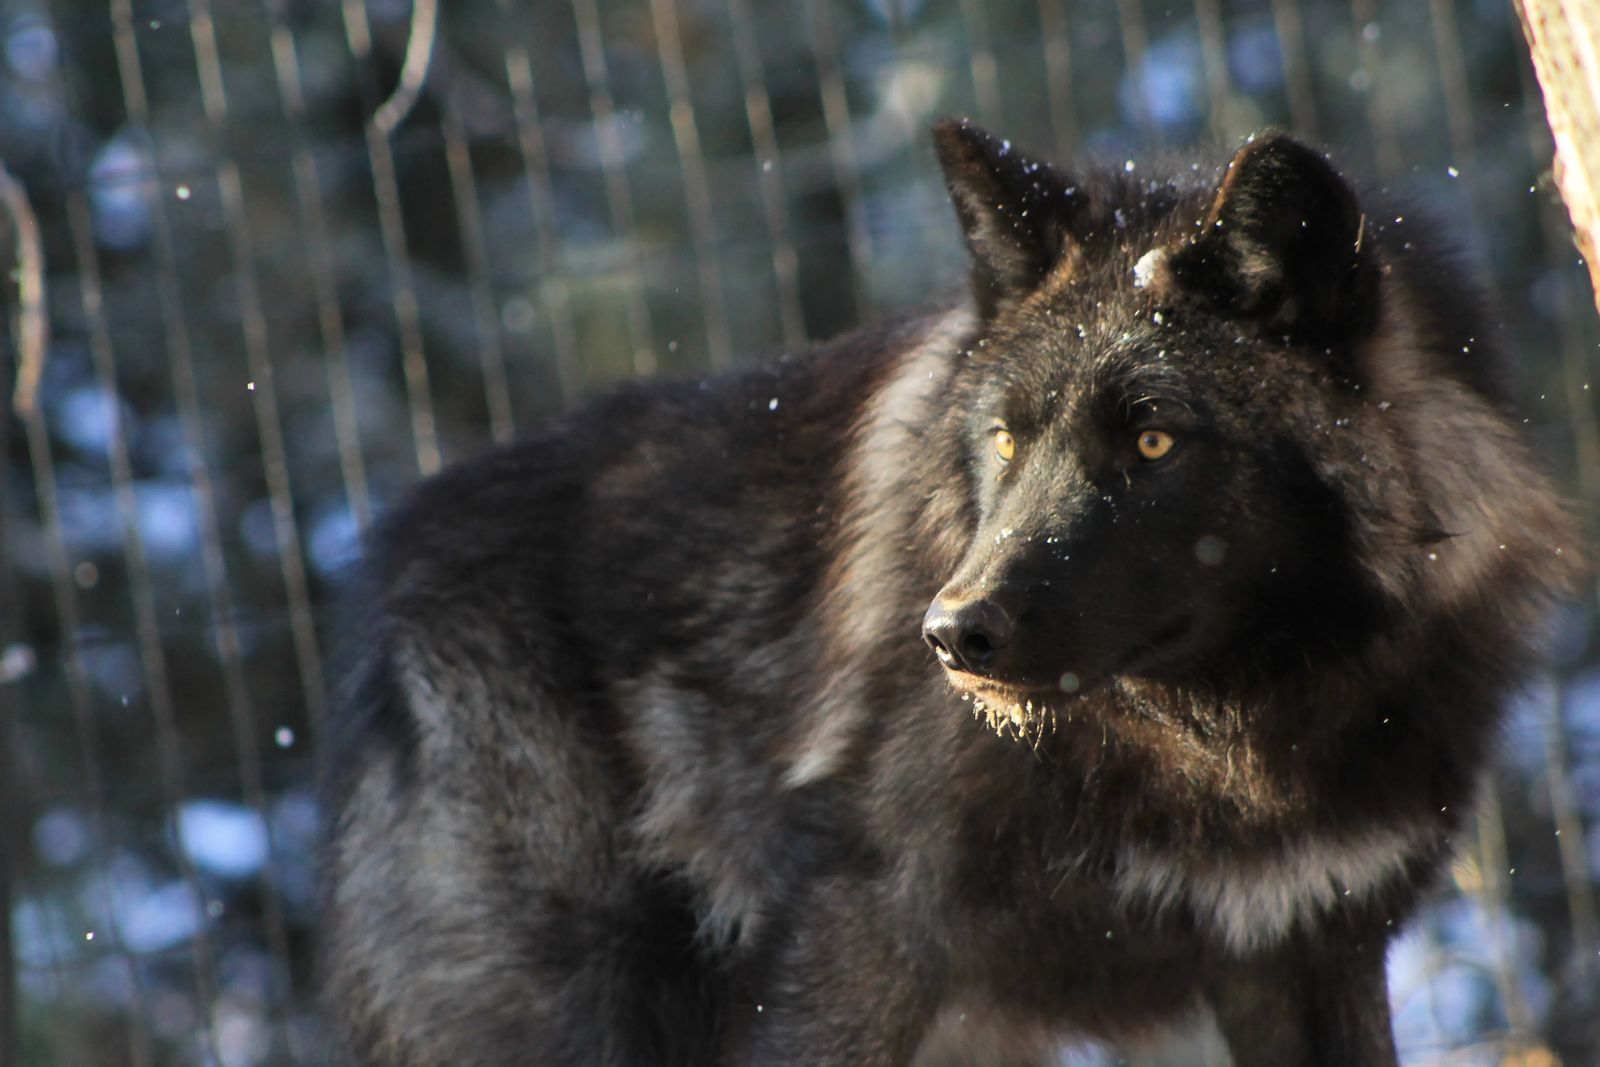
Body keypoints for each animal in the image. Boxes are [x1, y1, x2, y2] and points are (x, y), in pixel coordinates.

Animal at [320, 119, 1579, 1066]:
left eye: (1155, 439)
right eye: (1007, 440)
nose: (951, 633)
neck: (1225, 743)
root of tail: (394, 553)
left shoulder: (1310, 953)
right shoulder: (860, 932)